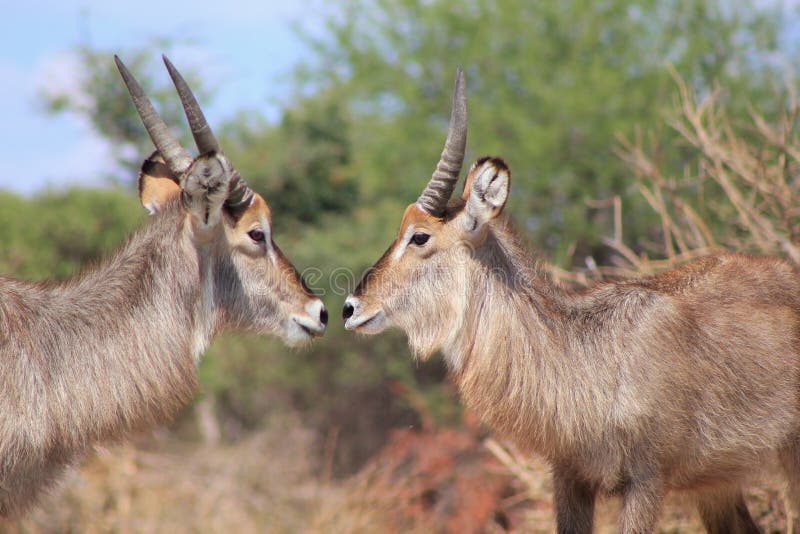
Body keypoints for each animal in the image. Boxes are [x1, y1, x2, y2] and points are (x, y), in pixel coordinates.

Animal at [343, 69, 800, 533]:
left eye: (419, 236)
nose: (350, 307)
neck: (586, 352)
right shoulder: (570, 477)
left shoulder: (646, 481)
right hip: (715, 485)